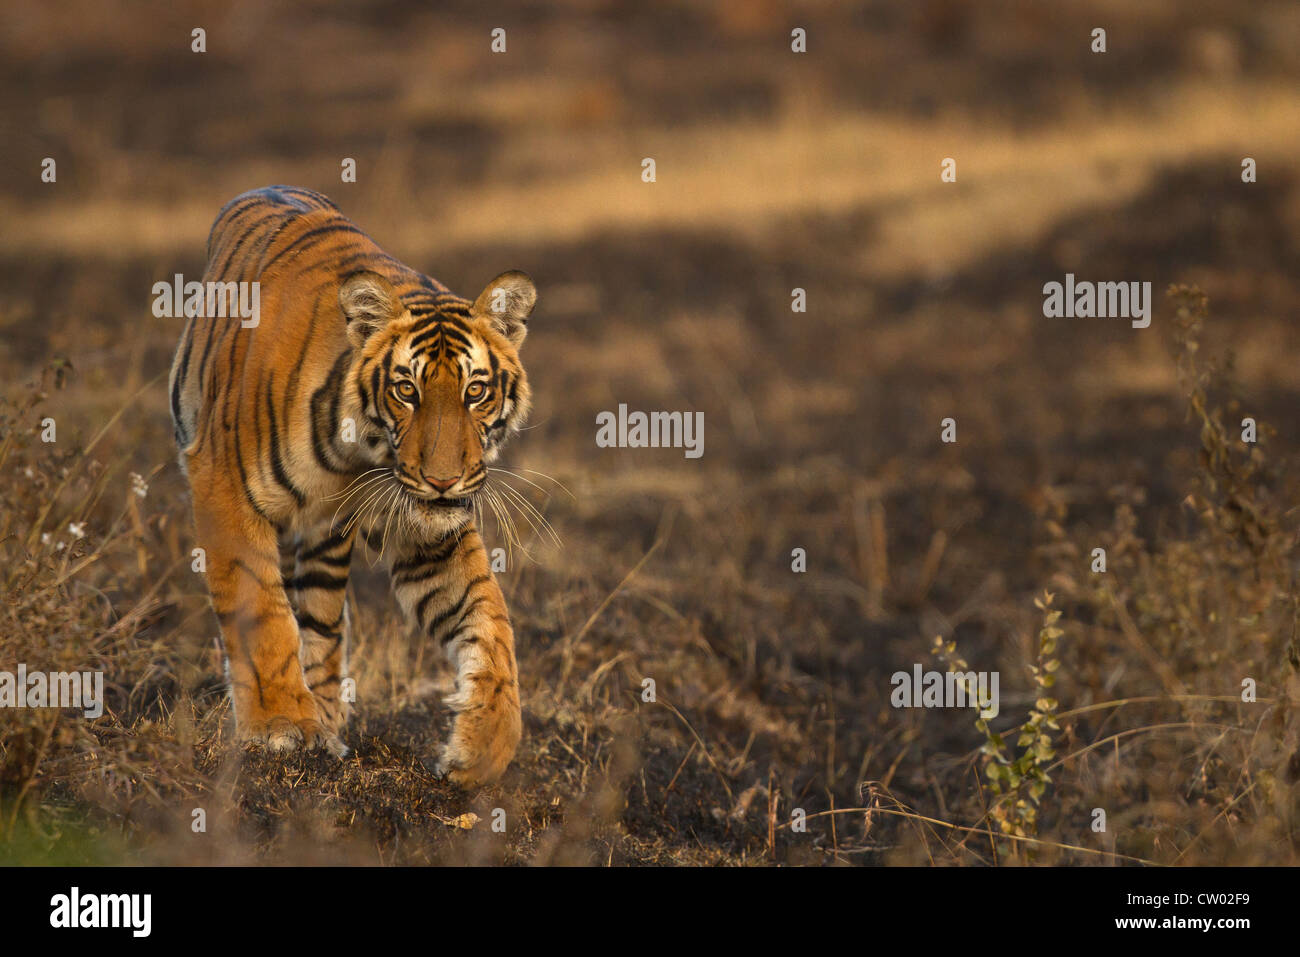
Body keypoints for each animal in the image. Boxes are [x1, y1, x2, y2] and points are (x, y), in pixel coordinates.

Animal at [169, 185, 536, 786]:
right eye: (407, 390)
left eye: (476, 391)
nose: (442, 480)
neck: (358, 452)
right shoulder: (225, 489)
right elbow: (261, 613)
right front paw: (279, 726)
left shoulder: (427, 528)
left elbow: (488, 617)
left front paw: (483, 747)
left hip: (325, 545)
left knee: (320, 628)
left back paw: (327, 723)